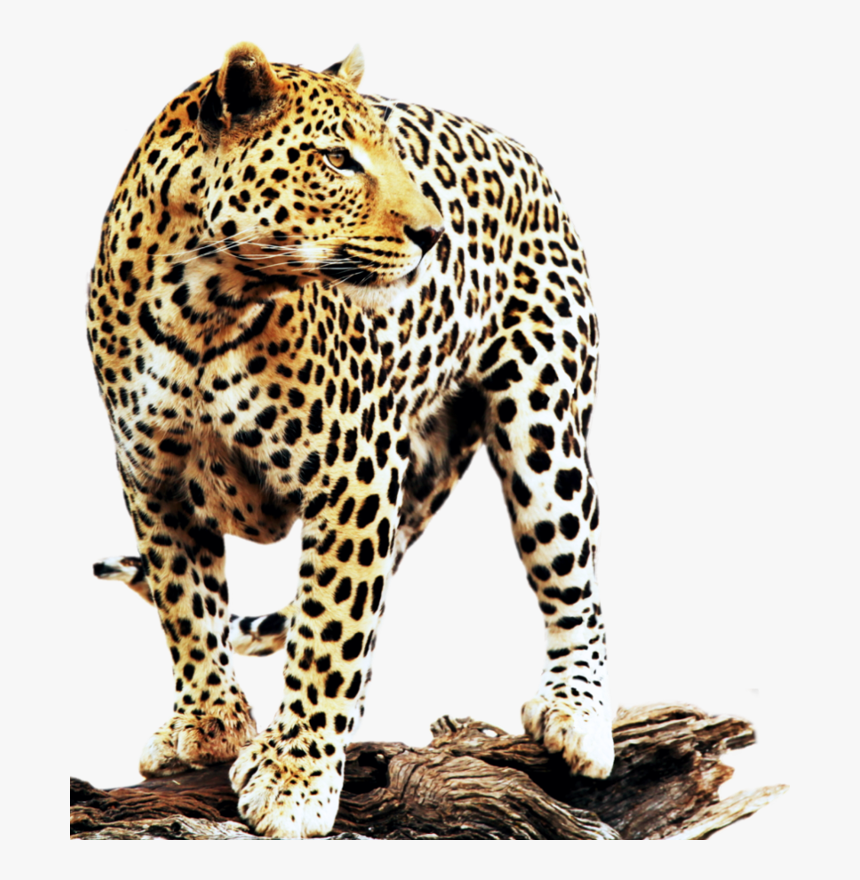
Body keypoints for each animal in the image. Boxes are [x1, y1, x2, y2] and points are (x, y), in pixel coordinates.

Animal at [87, 40, 614, 838]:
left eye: (392, 155)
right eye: (338, 160)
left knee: (573, 583)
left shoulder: (353, 475)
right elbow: (188, 606)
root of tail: (523, 155)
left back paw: (576, 711)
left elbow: (330, 631)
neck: (202, 306)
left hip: (544, 429)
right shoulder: (152, 477)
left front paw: (293, 779)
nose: (434, 235)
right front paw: (208, 723)